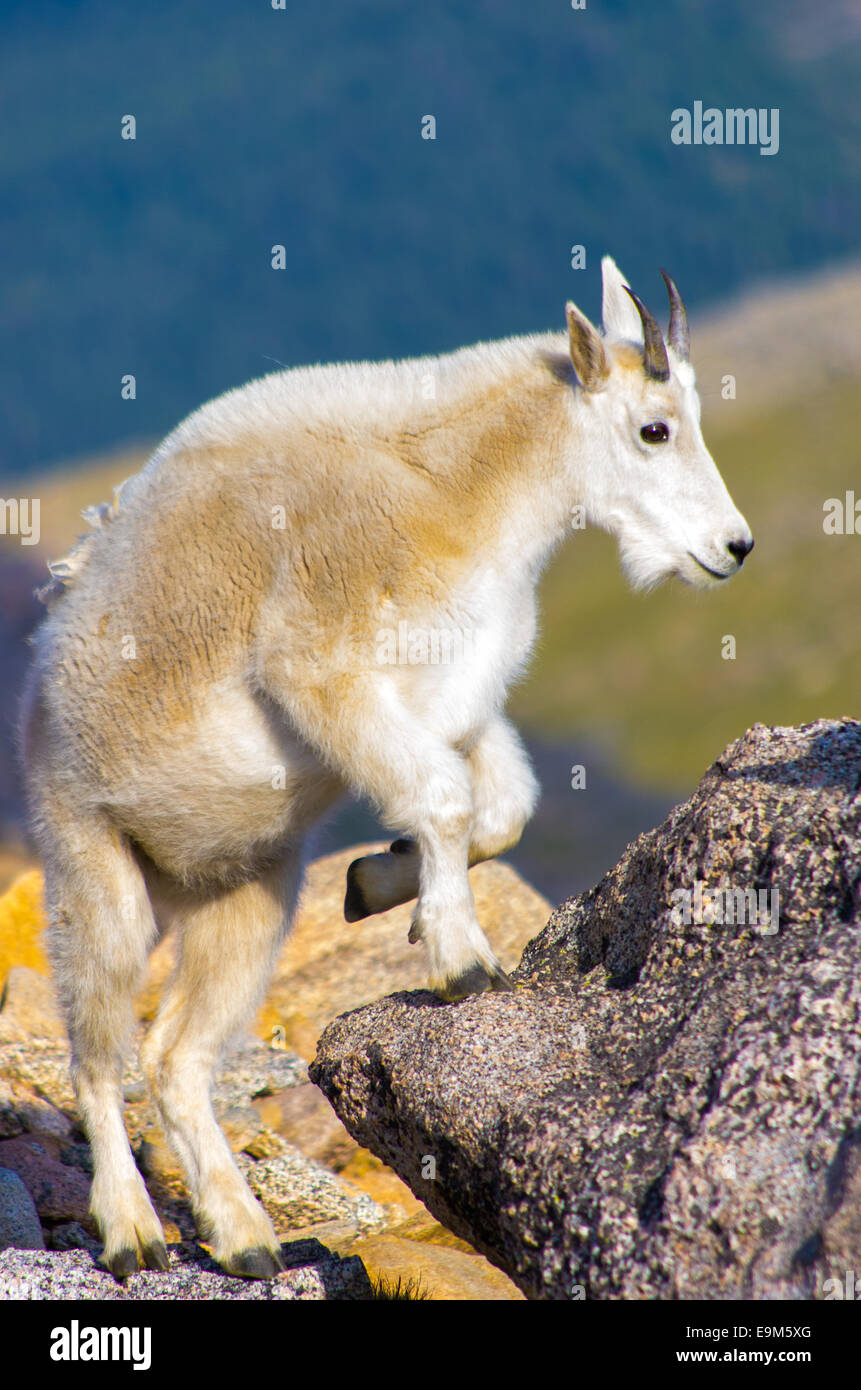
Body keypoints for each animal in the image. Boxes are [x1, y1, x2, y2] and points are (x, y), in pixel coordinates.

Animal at [20, 256, 753, 1279]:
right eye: (654, 428)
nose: (733, 547)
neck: (460, 489)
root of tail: (37, 688)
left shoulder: (457, 701)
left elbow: (501, 808)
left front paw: (377, 884)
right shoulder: (326, 672)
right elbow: (445, 801)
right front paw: (461, 962)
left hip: (249, 888)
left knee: (176, 1057)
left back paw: (244, 1238)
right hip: (90, 856)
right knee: (95, 1055)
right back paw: (132, 1233)